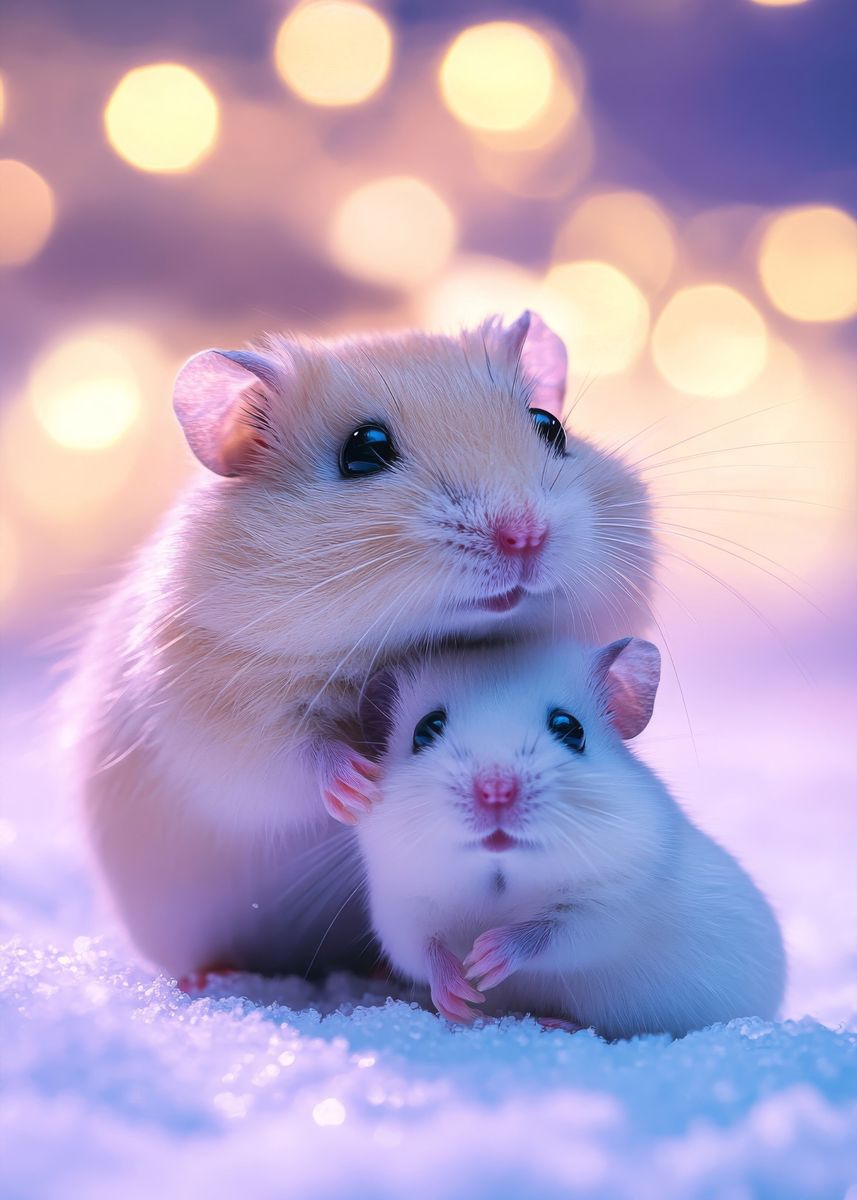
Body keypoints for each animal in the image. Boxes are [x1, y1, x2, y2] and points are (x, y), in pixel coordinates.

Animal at [72, 312, 653, 980]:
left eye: (548, 426)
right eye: (364, 450)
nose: (524, 536)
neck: (408, 638)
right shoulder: (220, 715)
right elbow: (296, 755)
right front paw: (362, 785)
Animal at [354, 637, 785, 1038]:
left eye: (569, 728)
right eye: (426, 730)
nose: (496, 792)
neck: (500, 872)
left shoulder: (609, 907)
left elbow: (548, 933)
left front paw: (484, 959)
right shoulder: (401, 911)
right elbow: (426, 950)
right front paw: (461, 998)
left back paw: (556, 1024)